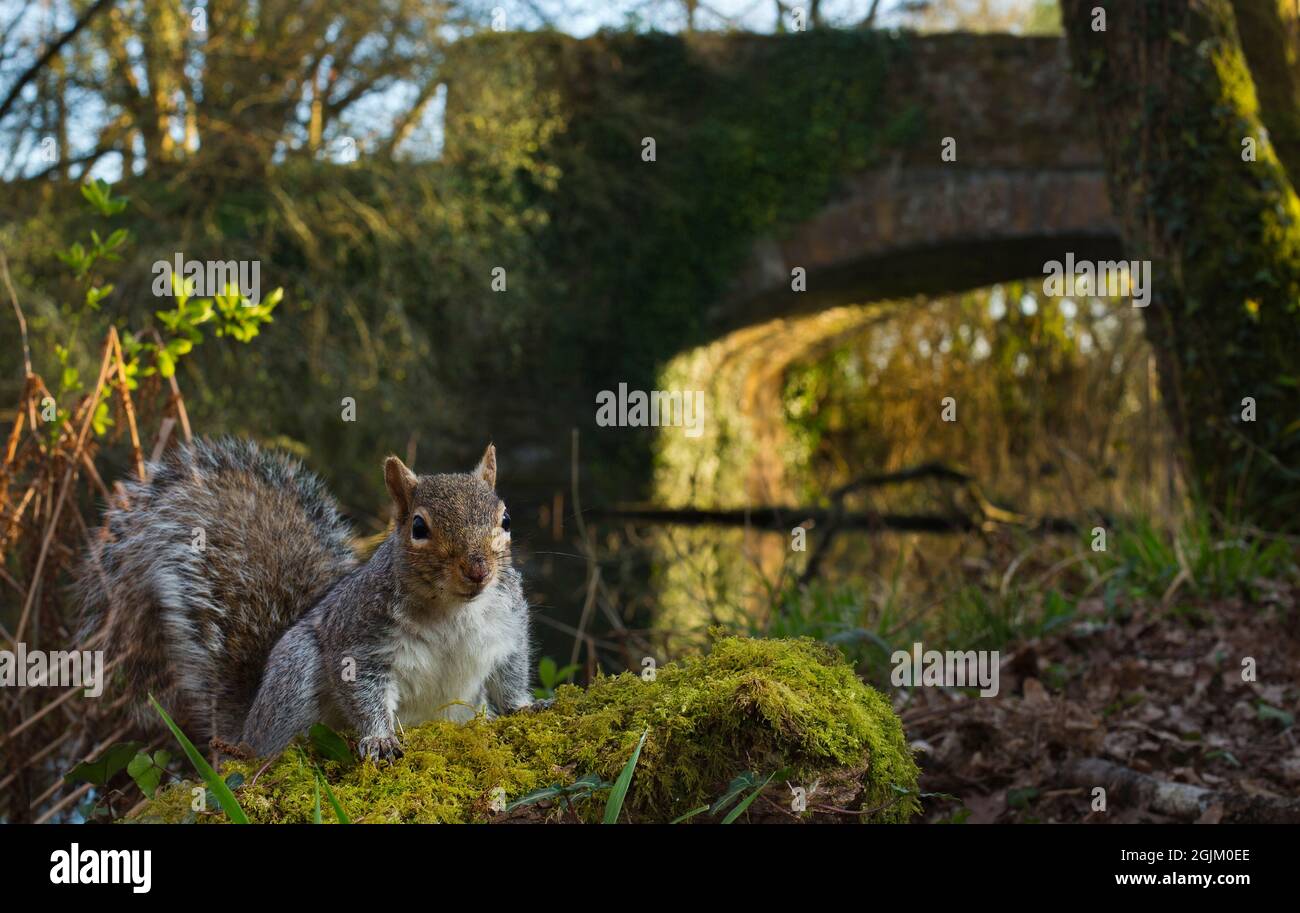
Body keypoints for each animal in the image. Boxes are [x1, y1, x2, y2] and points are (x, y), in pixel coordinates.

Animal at [79, 437, 536, 761]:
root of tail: (245, 731)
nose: (477, 570)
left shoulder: (509, 627)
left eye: (505, 519)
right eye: (419, 528)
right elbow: (363, 693)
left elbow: (511, 674)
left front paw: (523, 707)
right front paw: (380, 739)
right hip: (295, 672)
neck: (453, 610)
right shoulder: (359, 639)